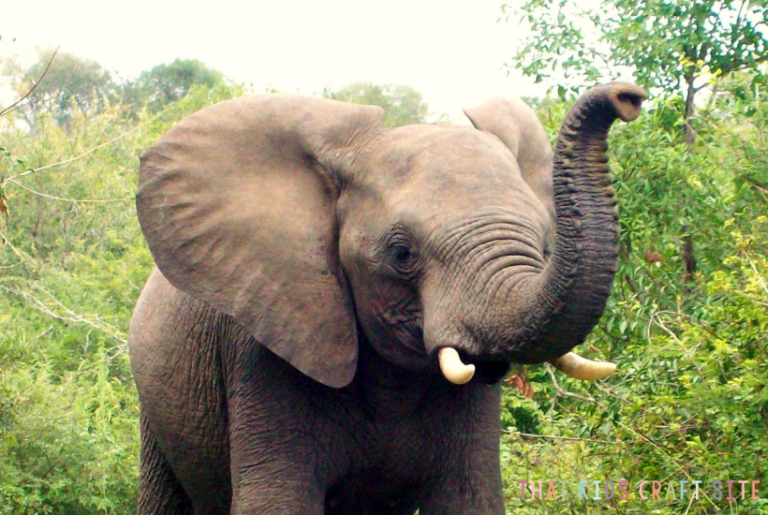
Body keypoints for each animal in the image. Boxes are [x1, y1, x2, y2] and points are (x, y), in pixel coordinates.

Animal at [128, 81, 645, 514]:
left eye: (544, 246)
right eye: (401, 254)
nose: (628, 97)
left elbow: (469, 499)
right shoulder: (260, 350)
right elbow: (277, 502)